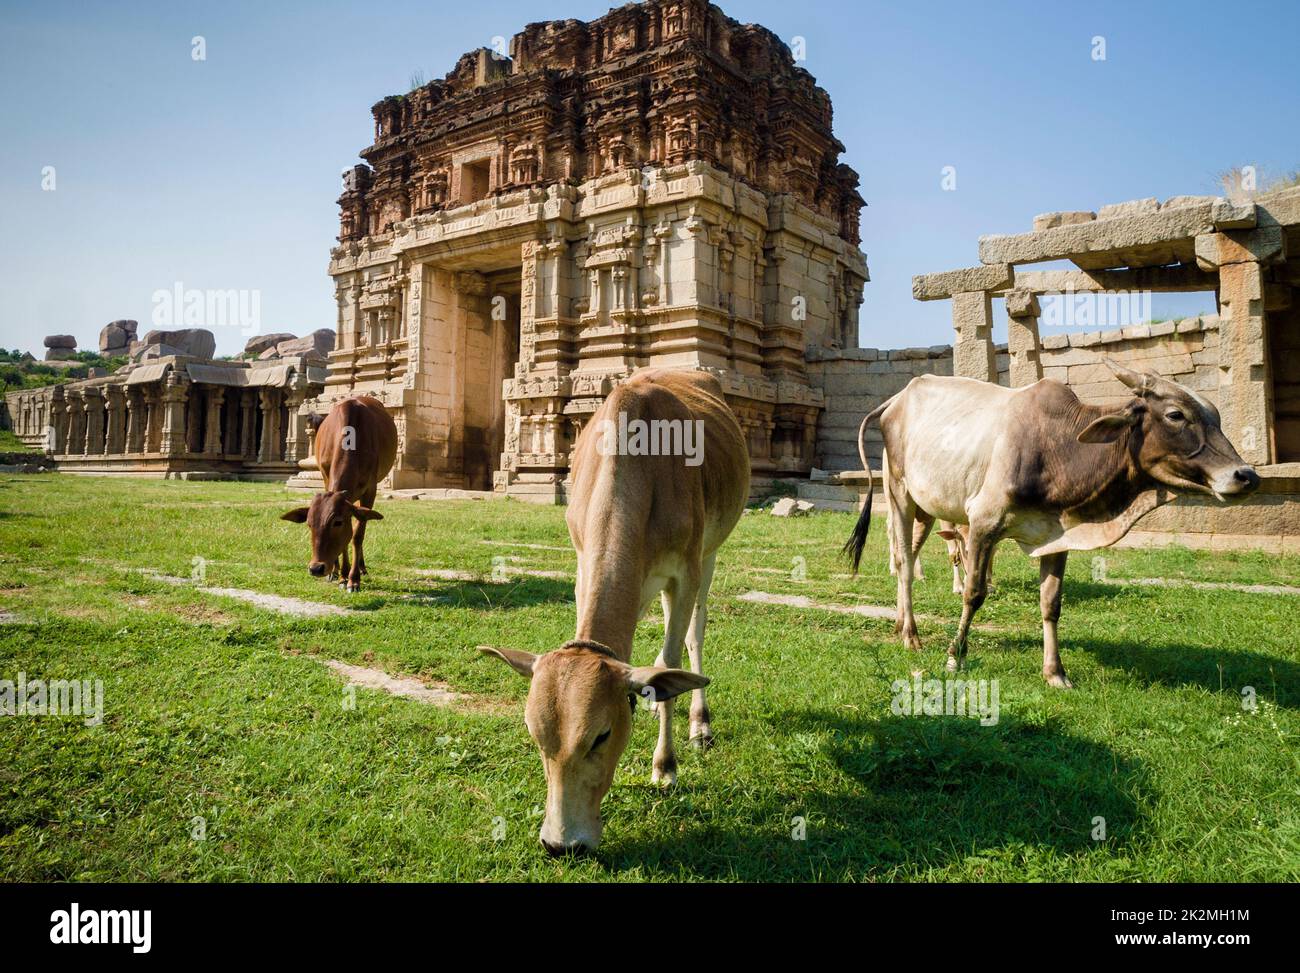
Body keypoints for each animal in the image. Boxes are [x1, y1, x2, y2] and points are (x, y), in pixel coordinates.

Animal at [280, 396, 397, 593]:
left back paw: (362, 568)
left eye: (337, 522)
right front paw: (341, 575)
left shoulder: (370, 490)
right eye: (309, 524)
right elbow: (347, 539)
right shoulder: (326, 477)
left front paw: (353, 579)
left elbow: (357, 535)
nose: (316, 568)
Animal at [481, 369, 750, 855]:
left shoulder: (684, 570)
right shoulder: (583, 561)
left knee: (694, 634)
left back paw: (699, 724)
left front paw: (665, 767)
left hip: (710, 554)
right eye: (534, 733)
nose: (561, 844)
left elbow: (673, 654)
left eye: (601, 735)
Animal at [844, 359, 1260, 687]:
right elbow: (974, 593)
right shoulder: (983, 523)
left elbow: (1051, 603)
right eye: (1176, 415)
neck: (1058, 448)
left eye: (1216, 416)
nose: (1246, 476)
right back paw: (911, 636)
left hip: (925, 508)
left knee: (910, 556)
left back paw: (901, 624)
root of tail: (897, 399)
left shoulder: (1058, 535)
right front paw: (955, 656)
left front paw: (1055, 672)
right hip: (899, 493)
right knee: (902, 562)